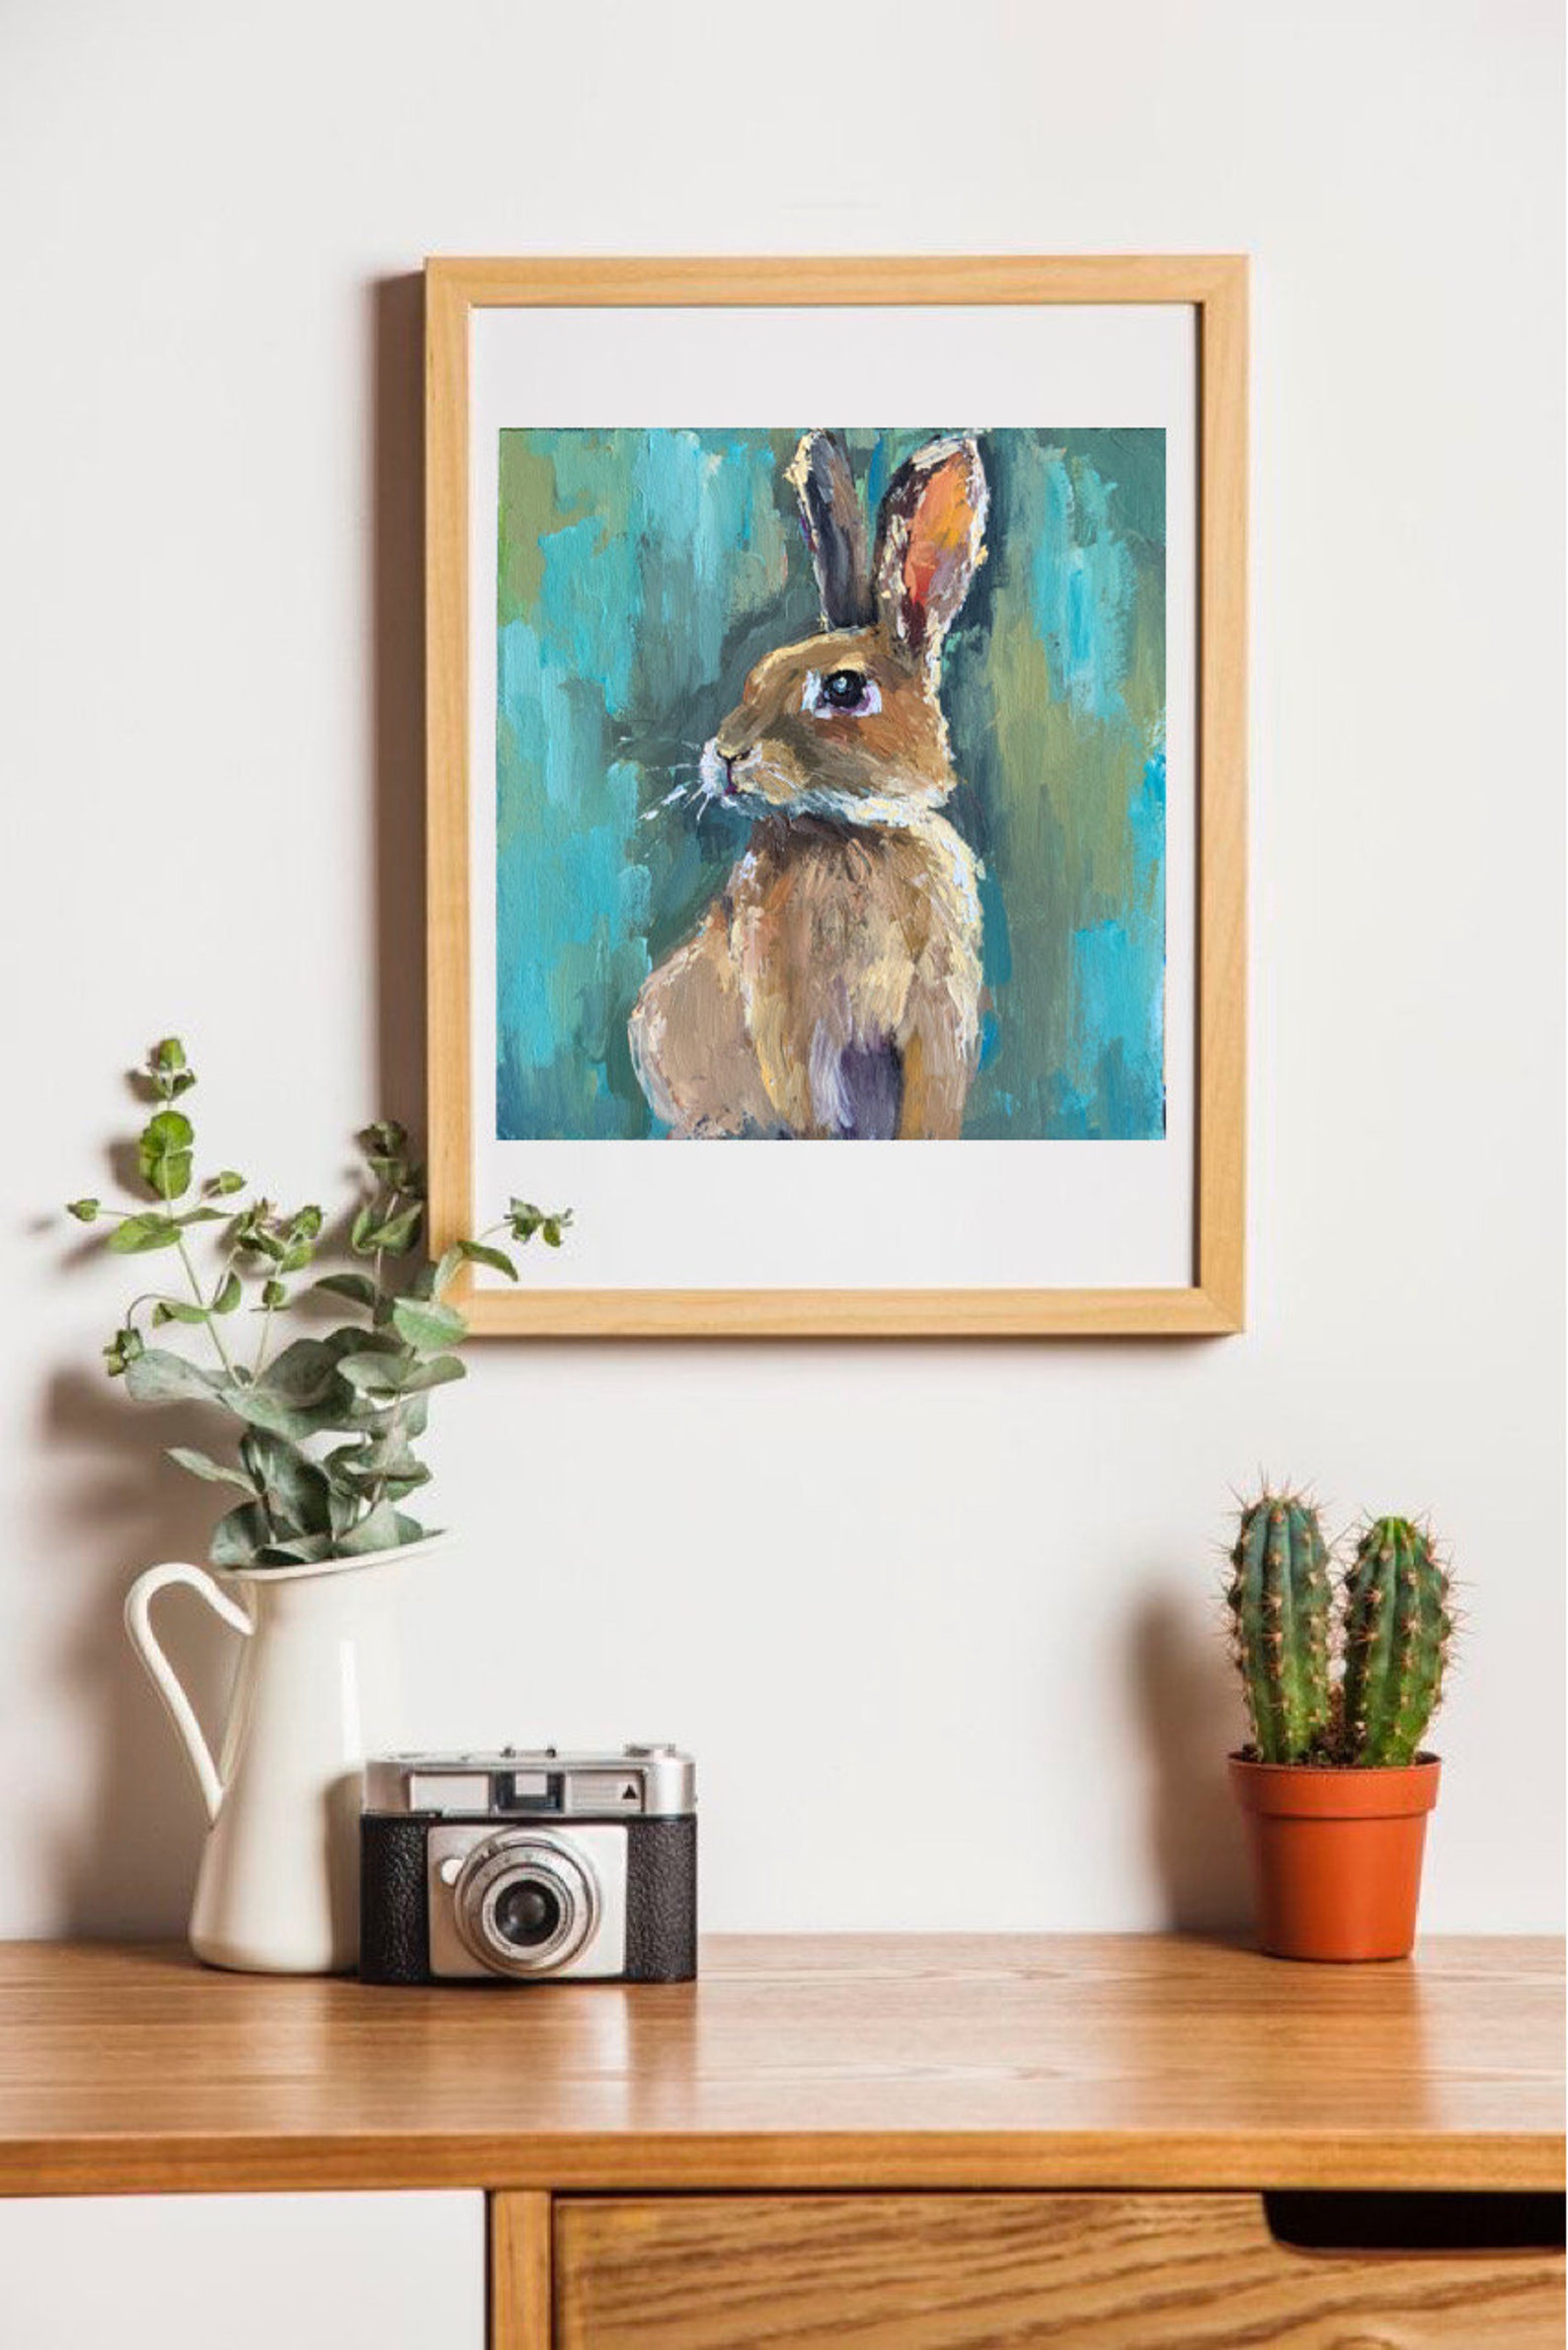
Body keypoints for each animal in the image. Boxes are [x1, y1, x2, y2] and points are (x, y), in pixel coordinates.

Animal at [630, 429, 988, 1140]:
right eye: (759, 673)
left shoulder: (937, 1022)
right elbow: (810, 1107)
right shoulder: (794, 1021)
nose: (726, 757)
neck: (855, 832)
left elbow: (929, 1111)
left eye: (844, 689)